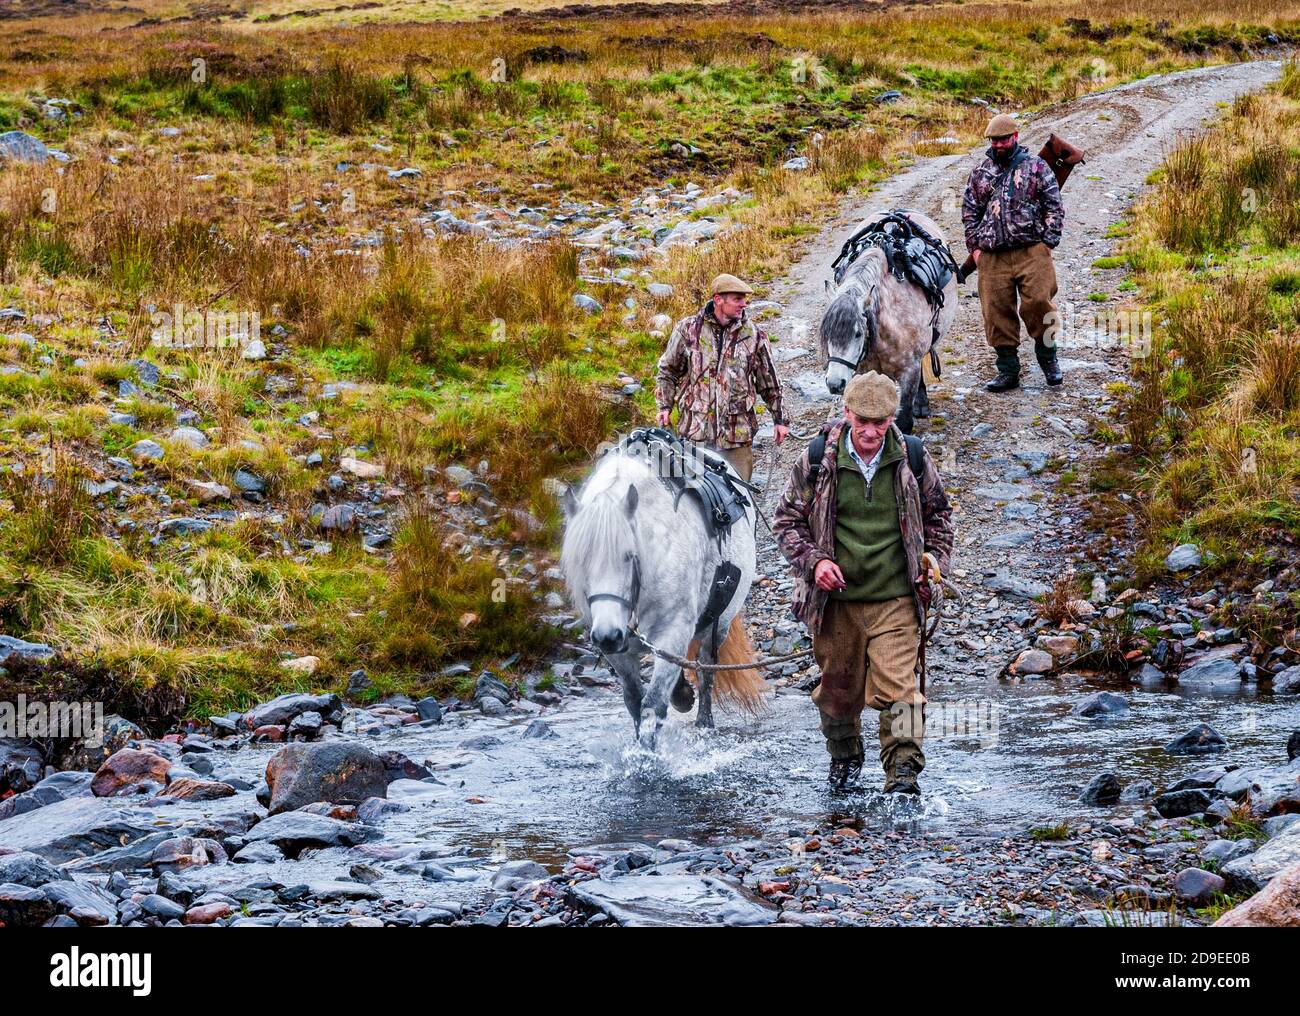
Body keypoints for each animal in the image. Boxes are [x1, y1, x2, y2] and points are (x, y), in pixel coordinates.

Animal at [560, 442, 766, 749]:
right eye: (580, 561)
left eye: (629, 555)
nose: (608, 636)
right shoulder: (620, 655)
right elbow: (634, 702)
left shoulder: (672, 631)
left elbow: (653, 704)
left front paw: (647, 757)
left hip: (718, 626)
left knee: (705, 671)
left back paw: (704, 722)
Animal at [819, 208, 958, 434]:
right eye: (827, 335)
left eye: (858, 333)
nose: (835, 384)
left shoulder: (909, 372)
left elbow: (904, 423)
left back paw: (921, 404)